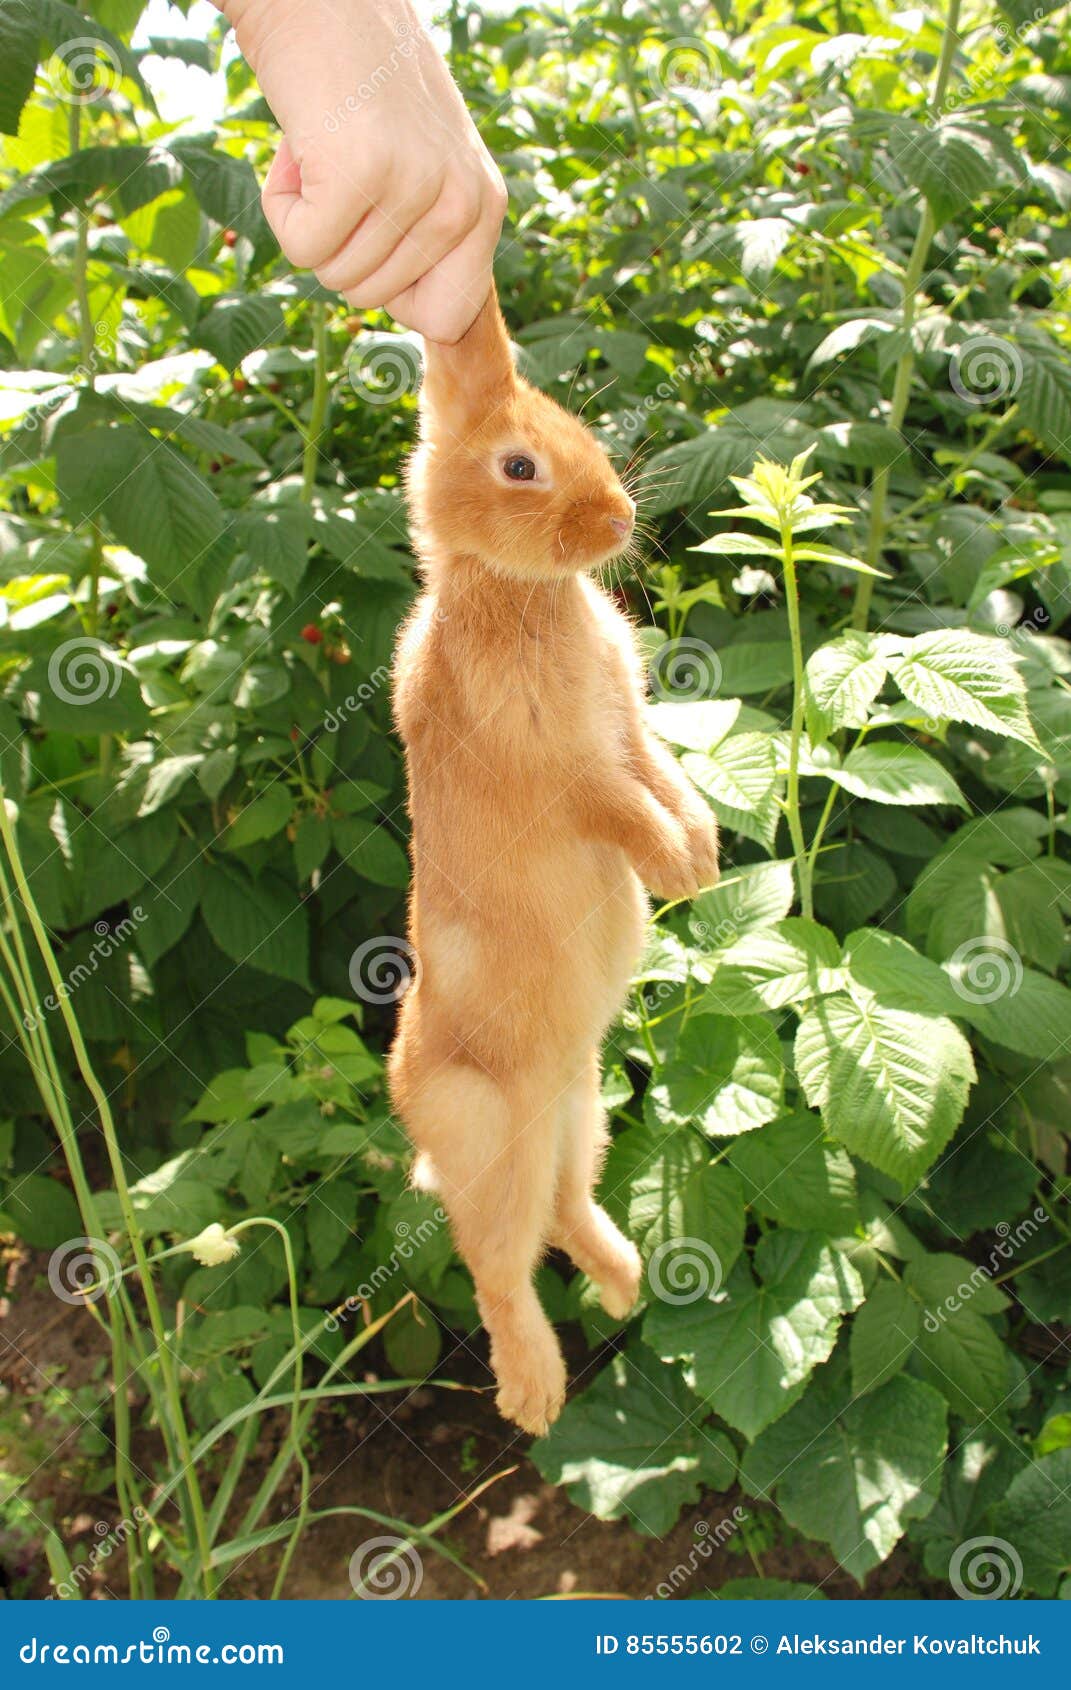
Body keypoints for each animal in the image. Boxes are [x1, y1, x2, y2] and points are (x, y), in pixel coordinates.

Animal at [387, 285, 719, 1437]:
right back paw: (535, 1392)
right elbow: (621, 808)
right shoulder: (566, 771)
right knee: (498, 1267)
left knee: (570, 1215)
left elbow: (665, 776)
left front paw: (703, 853)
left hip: (586, 1113)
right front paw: (677, 870)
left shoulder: (628, 727)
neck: (522, 593)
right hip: (497, 1140)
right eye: (520, 465)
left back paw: (626, 1284)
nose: (617, 521)